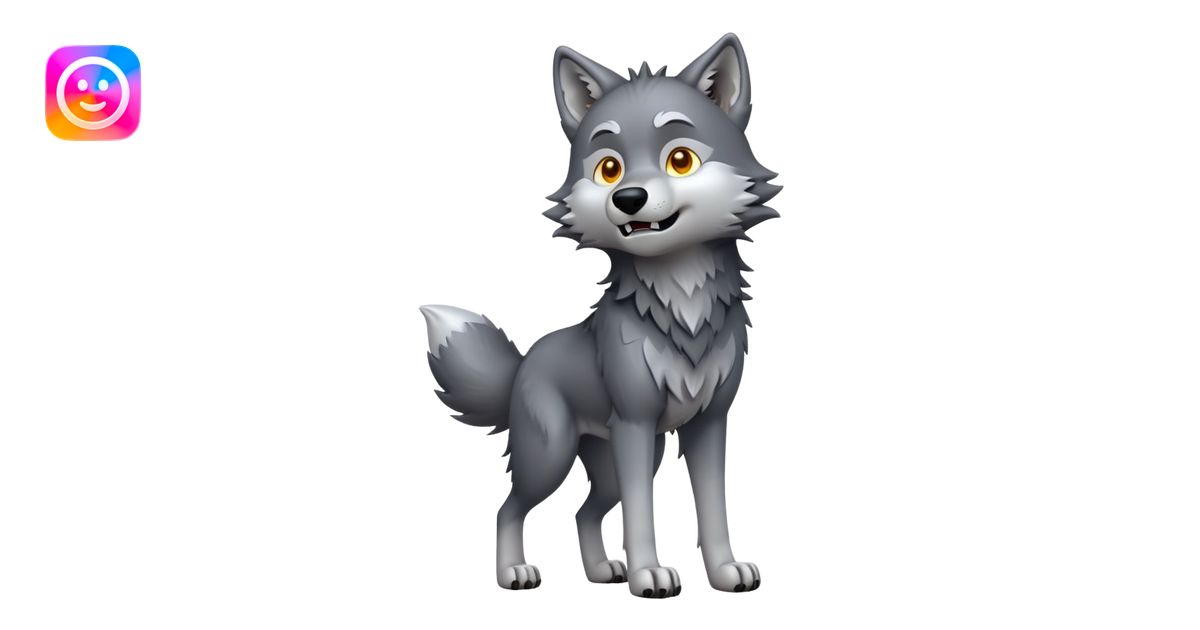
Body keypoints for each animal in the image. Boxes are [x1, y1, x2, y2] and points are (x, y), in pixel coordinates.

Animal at [421, 33, 780, 598]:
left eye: (680, 159)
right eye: (608, 168)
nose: (628, 198)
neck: (683, 308)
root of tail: (524, 362)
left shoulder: (709, 423)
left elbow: (713, 507)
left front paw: (724, 572)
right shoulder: (634, 422)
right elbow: (641, 516)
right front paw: (650, 574)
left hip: (627, 459)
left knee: (584, 513)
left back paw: (600, 571)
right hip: (552, 455)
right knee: (508, 508)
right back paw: (514, 573)